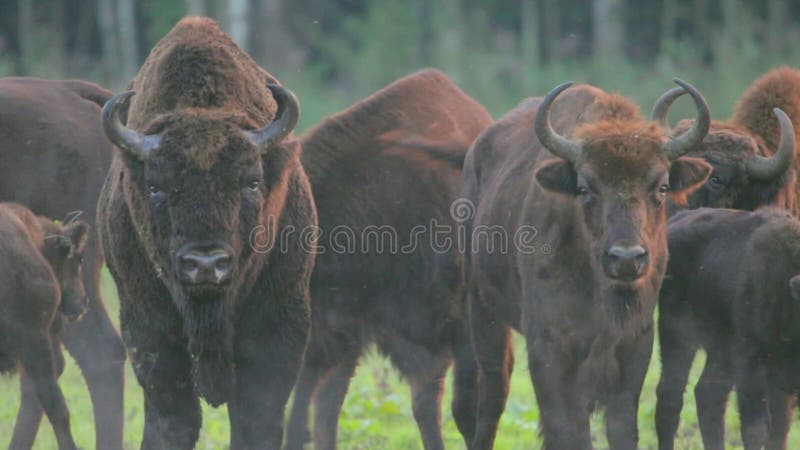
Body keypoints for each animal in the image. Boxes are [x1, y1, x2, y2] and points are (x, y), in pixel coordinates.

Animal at [98, 18, 316, 449]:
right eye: (155, 186)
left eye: (252, 181)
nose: (205, 264)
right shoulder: (146, 324)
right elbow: (173, 417)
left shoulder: (280, 320)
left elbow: (257, 417)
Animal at [461, 80, 712, 449]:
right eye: (584, 187)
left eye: (662, 186)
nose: (626, 257)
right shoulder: (549, 346)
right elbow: (567, 428)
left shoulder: (634, 344)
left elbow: (622, 427)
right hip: (482, 308)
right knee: (494, 393)